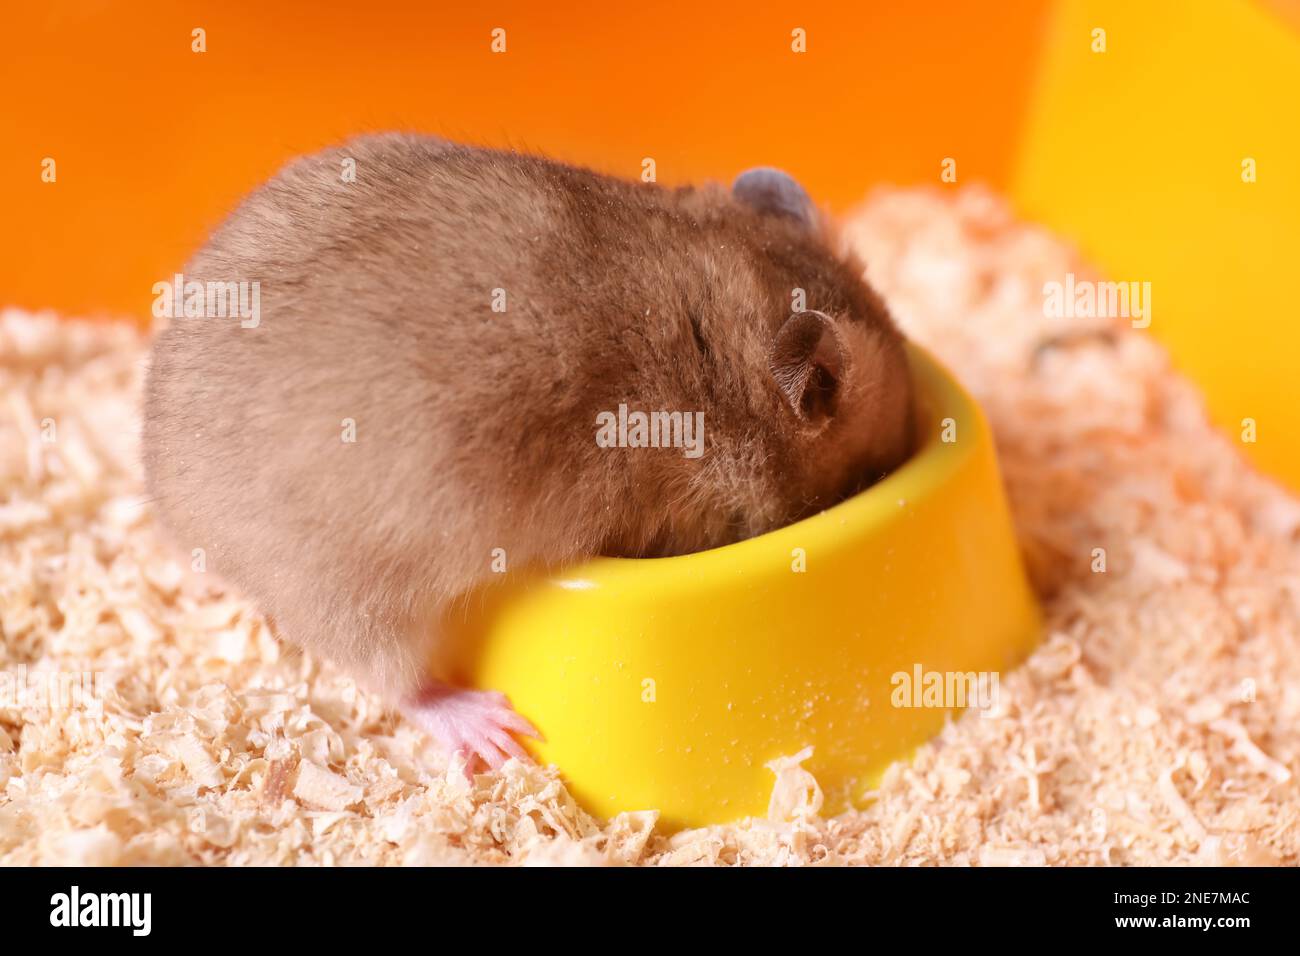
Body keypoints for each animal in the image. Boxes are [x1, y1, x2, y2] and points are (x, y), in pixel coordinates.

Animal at [142, 133, 913, 773]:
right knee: (396, 680)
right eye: (871, 469)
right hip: (353, 591)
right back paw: (493, 730)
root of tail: (164, 495)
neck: (716, 338)